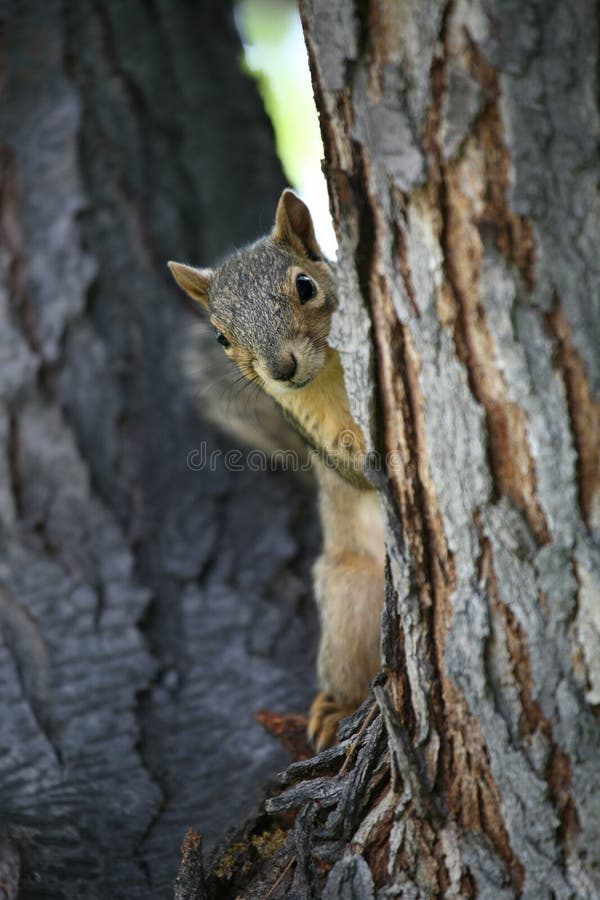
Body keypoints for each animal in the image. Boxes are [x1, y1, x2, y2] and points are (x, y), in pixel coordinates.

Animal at [168, 189, 385, 750]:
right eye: (220, 338)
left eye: (305, 286)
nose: (282, 370)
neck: (328, 377)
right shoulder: (309, 428)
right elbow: (353, 470)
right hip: (348, 594)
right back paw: (338, 708)